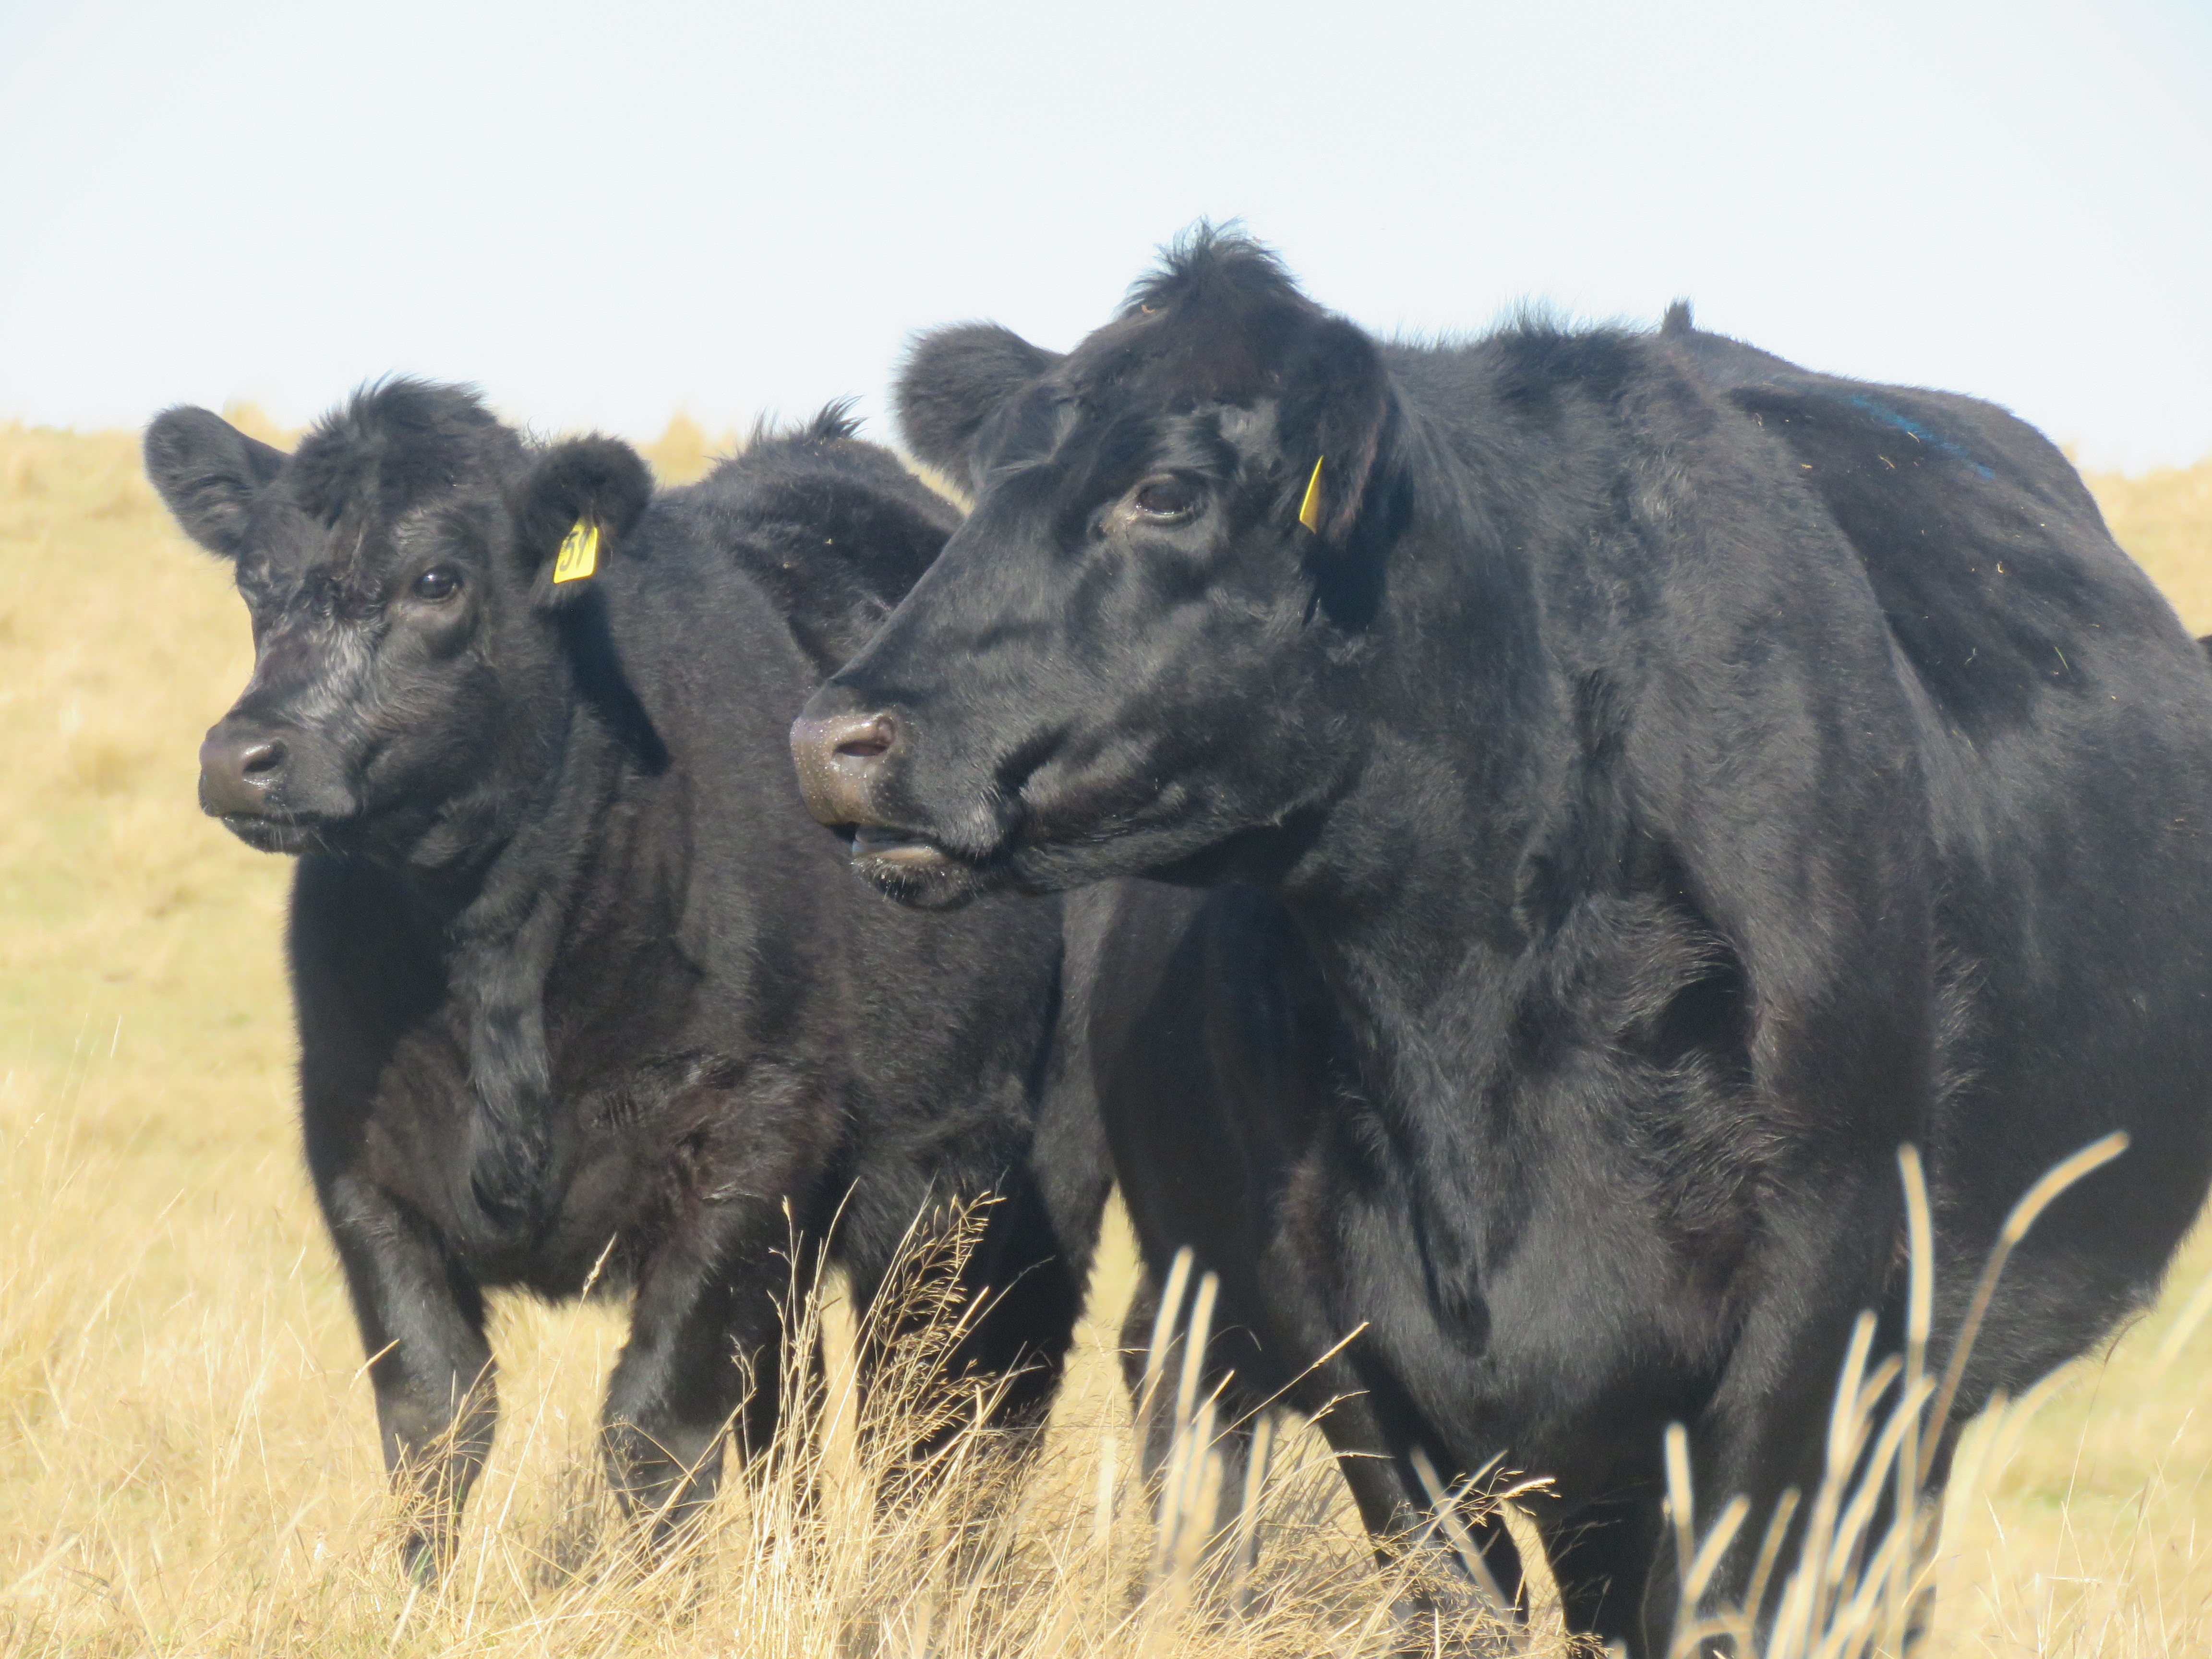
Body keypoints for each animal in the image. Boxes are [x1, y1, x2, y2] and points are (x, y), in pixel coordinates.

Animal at [144, 383, 1109, 1575]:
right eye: (255, 580)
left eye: (438, 579)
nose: (241, 757)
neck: (498, 963)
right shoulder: (358, 1151)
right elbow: (434, 1416)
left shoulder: (753, 1134)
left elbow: (657, 1428)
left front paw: (644, 1598)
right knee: (801, 1417)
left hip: (999, 1172)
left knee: (948, 1409)